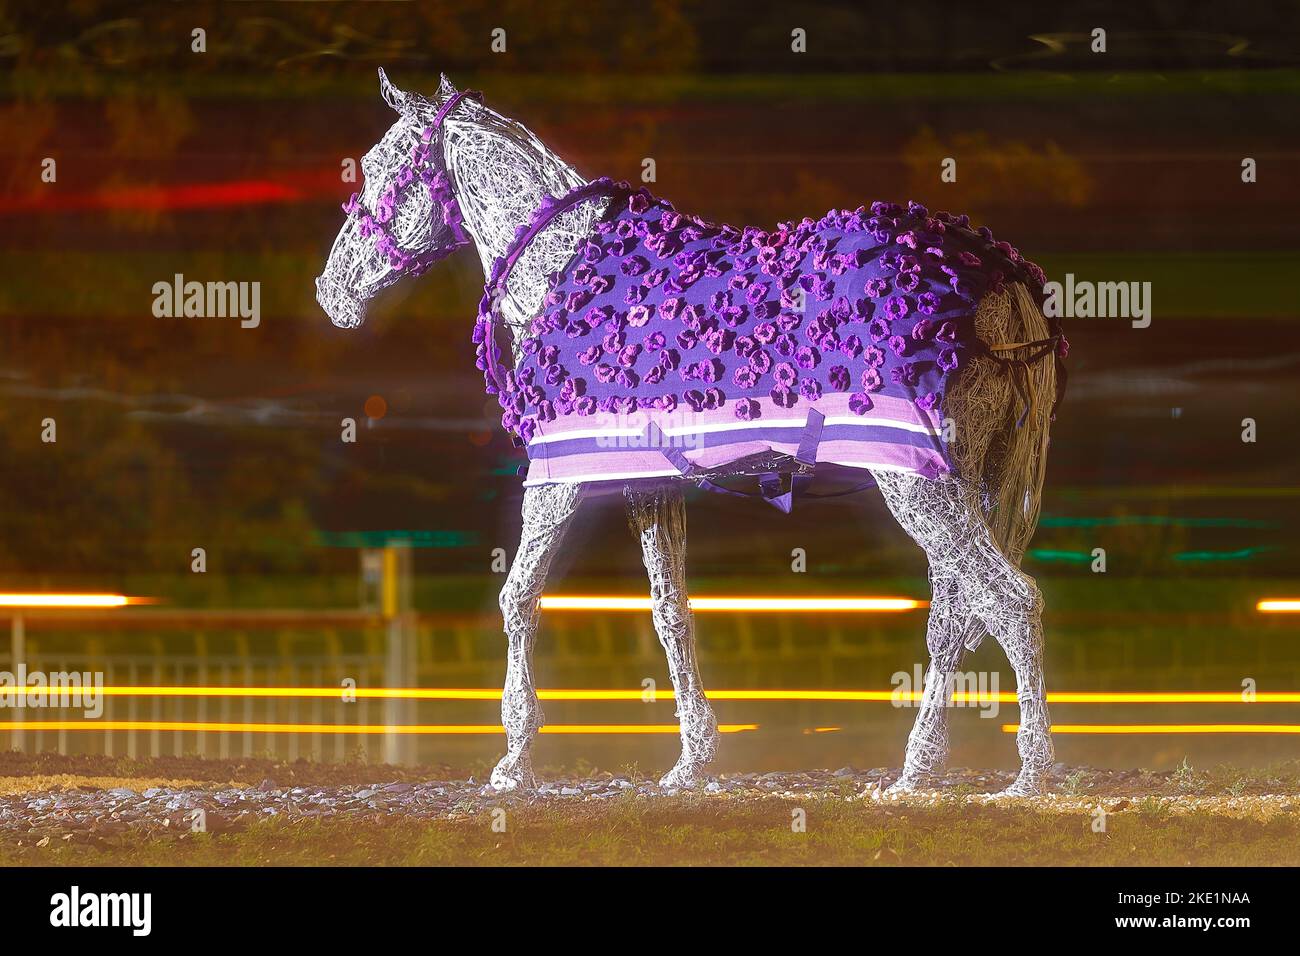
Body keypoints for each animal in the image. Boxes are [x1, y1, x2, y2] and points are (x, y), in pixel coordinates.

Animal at [315, 71, 1066, 797]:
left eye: (380, 168)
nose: (330, 292)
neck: (566, 268)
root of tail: (997, 279)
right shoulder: (649, 485)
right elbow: (670, 611)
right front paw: (693, 759)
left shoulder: (556, 478)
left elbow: (520, 596)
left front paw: (514, 758)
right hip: (964, 476)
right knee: (957, 616)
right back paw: (918, 770)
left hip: (917, 484)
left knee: (1010, 601)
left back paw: (1029, 774)